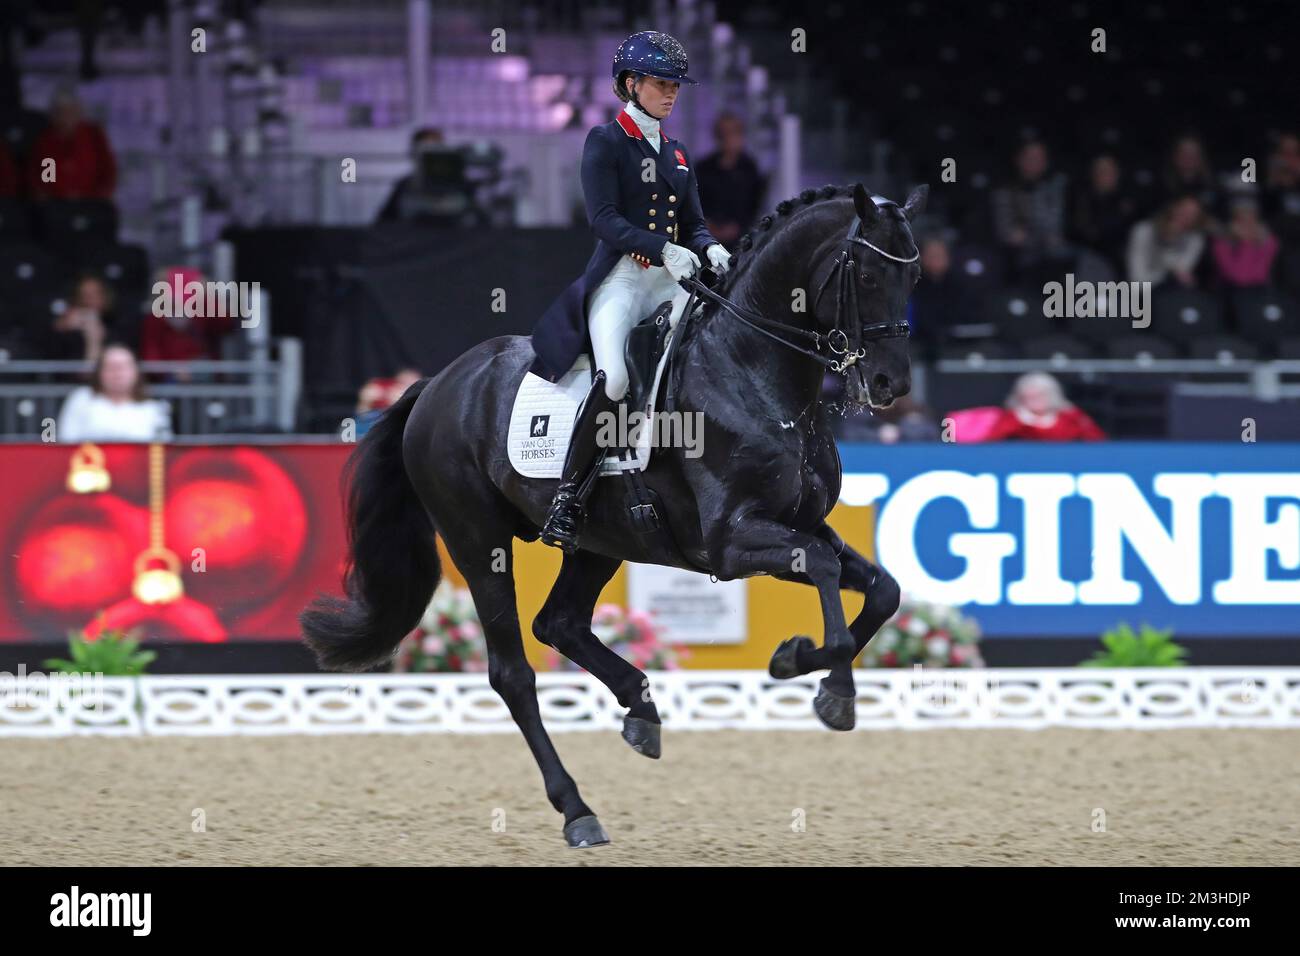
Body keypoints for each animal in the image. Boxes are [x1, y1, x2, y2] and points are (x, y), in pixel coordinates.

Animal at [301, 181, 928, 847]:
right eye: (867, 273)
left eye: (913, 278)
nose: (890, 385)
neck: (752, 370)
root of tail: (439, 383)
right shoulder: (732, 542)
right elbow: (827, 575)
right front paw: (830, 686)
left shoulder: (806, 524)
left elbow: (882, 589)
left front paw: (797, 665)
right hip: (478, 543)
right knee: (512, 672)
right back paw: (578, 810)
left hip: (602, 540)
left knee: (559, 624)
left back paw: (641, 709)